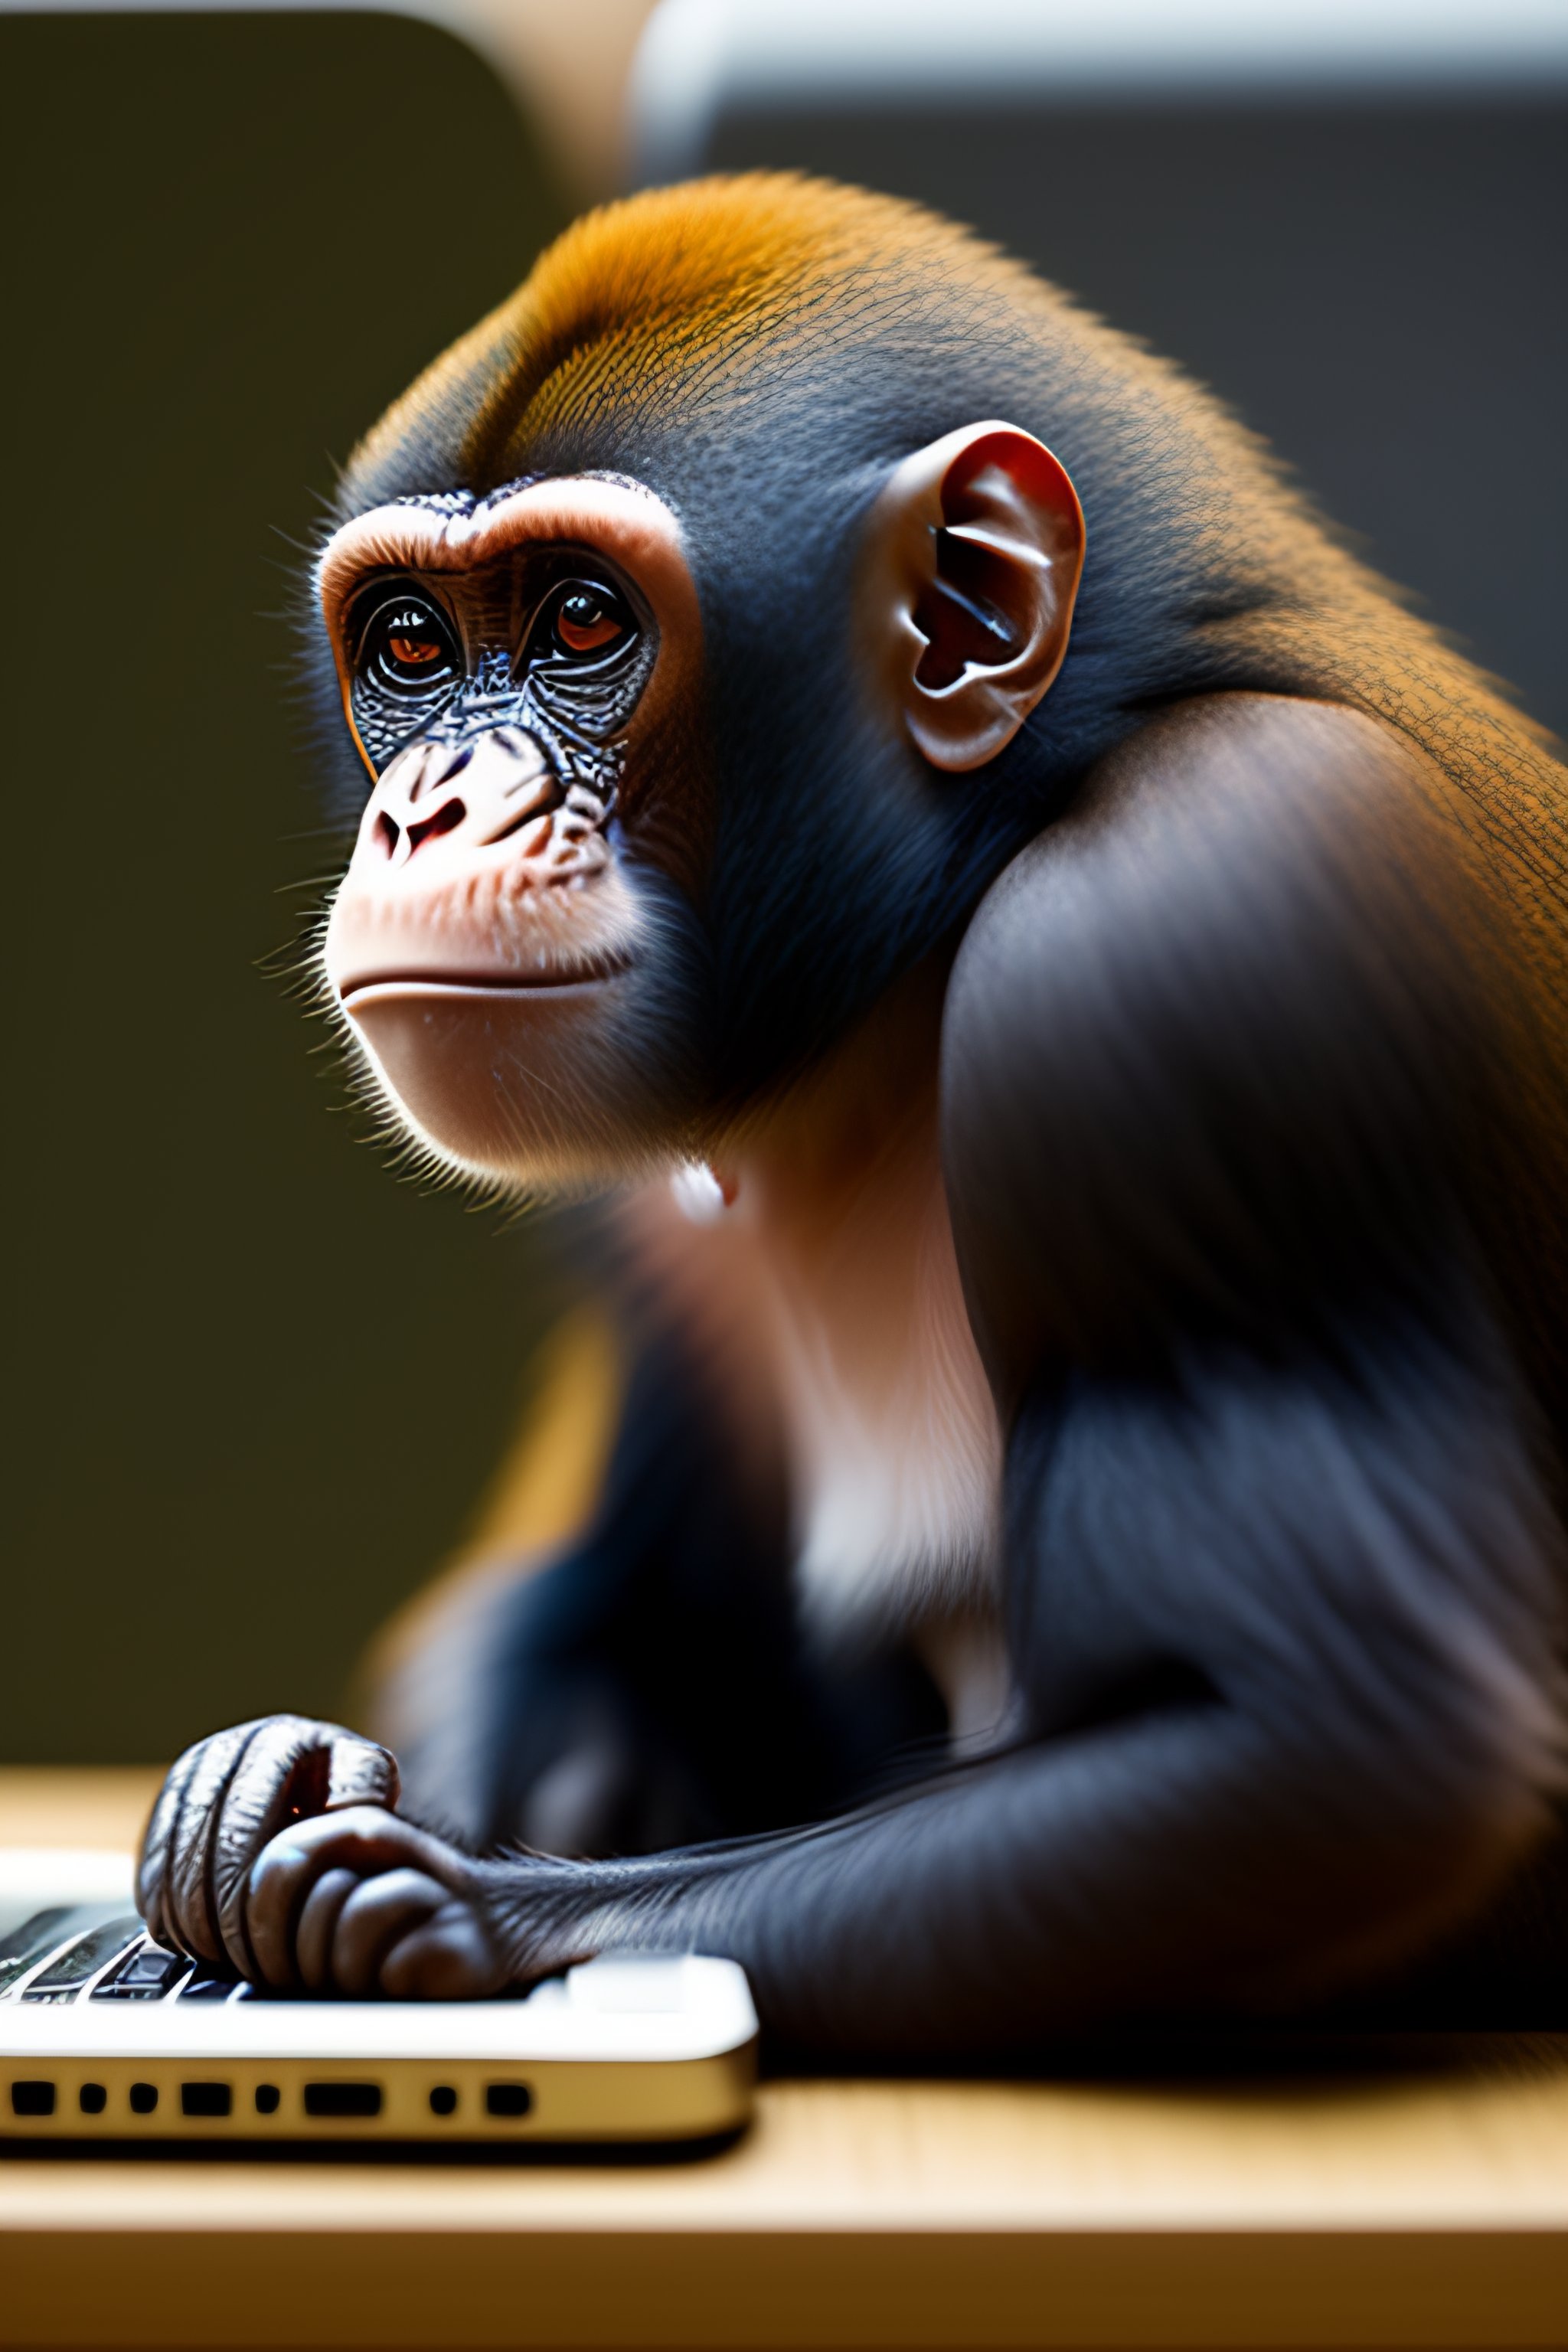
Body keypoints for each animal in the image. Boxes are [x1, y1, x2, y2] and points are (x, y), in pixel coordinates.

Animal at [137, 175, 1568, 2054]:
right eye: (412, 646)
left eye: (581, 623)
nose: (426, 810)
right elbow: (620, 1602)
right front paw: (321, 1777)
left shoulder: (1206, 926)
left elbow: (1324, 1740)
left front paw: (449, 1896)